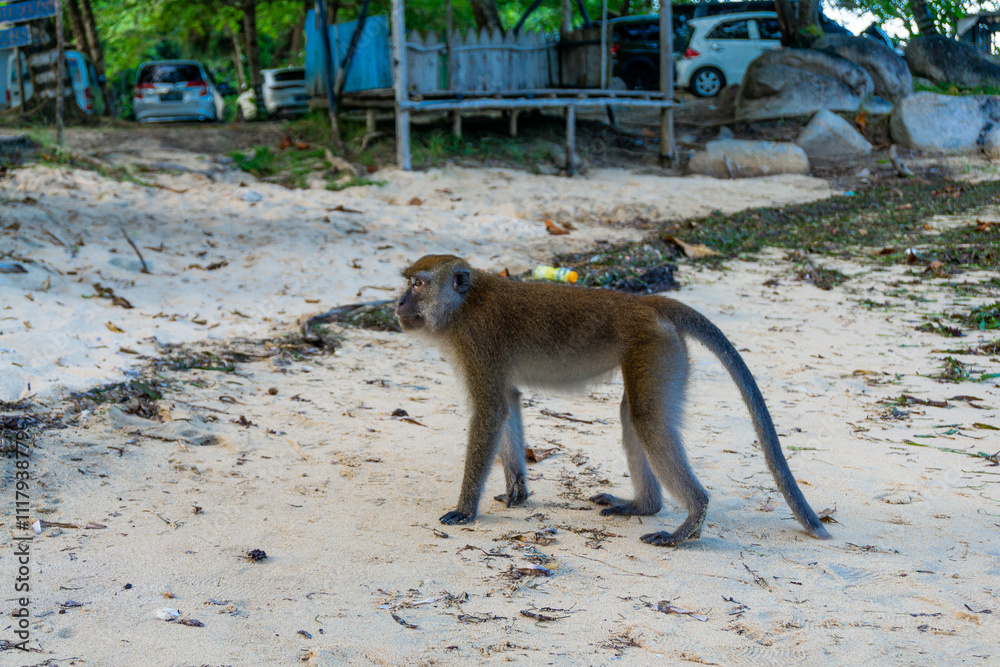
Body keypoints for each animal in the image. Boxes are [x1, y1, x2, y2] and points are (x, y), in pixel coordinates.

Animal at [395, 254, 831, 545]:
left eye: (418, 284)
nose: (397, 304)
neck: (464, 304)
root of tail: (646, 302)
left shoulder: (476, 341)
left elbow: (490, 411)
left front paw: (466, 509)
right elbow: (509, 403)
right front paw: (518, 491)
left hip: (654, 346)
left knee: (646, 418)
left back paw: (689, 523)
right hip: (664, 349)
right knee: (632, 415)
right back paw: (644, 506)